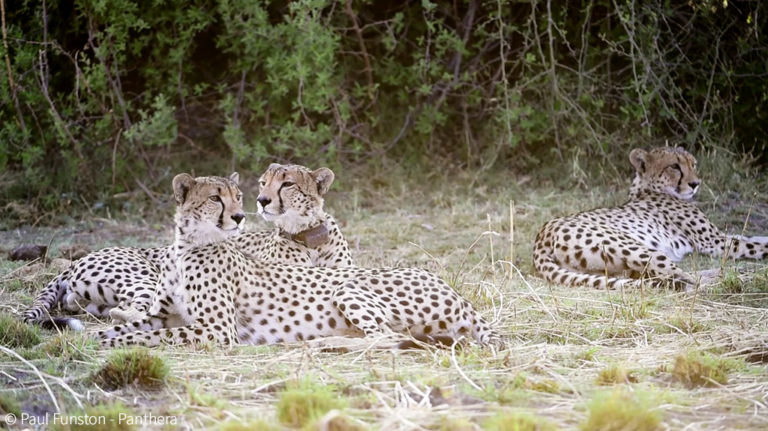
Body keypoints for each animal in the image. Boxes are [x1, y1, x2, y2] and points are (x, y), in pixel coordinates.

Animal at [22, 164, 353, 330]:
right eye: (262, 183)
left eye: (287, 184)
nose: (261, 201)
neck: (309, 237)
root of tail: (78, 260)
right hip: (144, 278)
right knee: (132, 310)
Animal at [97, 172, 501, 348]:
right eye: (215, 197)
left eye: (237, 195)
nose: (241, 215)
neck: (186, 246)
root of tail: (453, 291)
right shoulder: (161, 314)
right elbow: (129, 327)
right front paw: (94, 338)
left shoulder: (217, 329)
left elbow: (152, 336)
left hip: (348, 288)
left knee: (389, 337)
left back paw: (324, 343)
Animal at [533, 146, 768, 289]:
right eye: (675, 166)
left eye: (693, 164)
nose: (695, 184)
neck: (647, 189)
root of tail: (543, 232)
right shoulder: (713, 241)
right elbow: (755, 246)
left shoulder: (718, 237)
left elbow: (753, 238)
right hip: (640, 248)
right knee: (686, 280)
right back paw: (740, 277)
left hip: (620, 268)